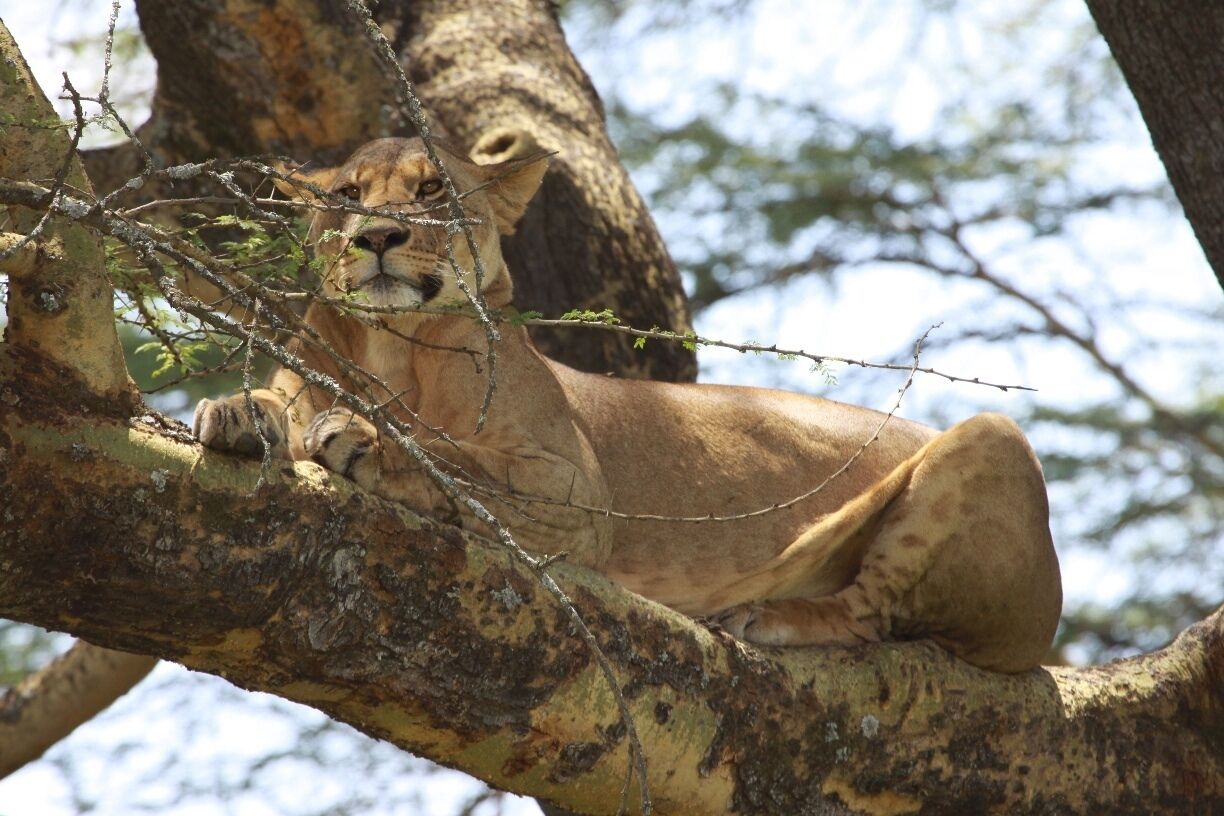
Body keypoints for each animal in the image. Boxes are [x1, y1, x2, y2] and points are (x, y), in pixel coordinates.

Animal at [189, 130, 1062, 675]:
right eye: (345, 195)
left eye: (433, 189)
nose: (374, 238)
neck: (391, 347)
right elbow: (279, 398)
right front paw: (240, 413)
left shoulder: (576, 493)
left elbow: (451, 457)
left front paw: (363, 436)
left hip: (994, 435)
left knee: (876, 613)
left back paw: (768, 616)